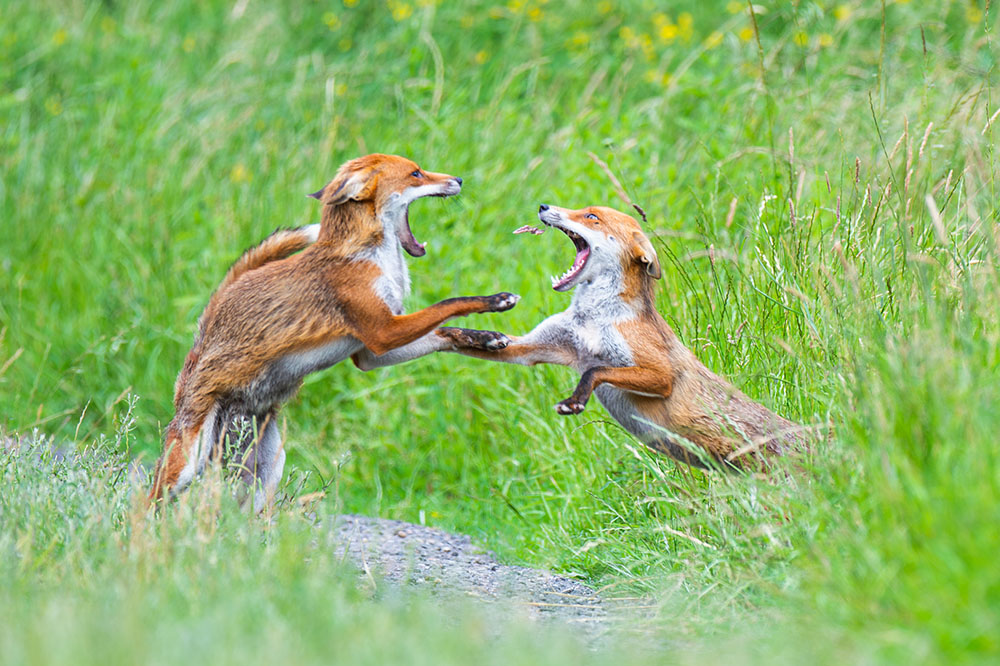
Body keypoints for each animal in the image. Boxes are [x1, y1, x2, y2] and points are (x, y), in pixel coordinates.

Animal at [149, 154, 517, 506]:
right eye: (416, 173)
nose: (459, 179)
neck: (376, 262)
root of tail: (201, 341)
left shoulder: (369, 353)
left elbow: (446, 332)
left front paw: (486, 339)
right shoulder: (382, 330)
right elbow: (450, 303)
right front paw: (495, 300)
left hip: (264, 469)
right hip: (187, 462)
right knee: (151, 499)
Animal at [434, 204, 805, 469]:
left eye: (591, 216)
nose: (543, 205)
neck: (593, 319)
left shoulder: (659, 374)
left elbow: (595, 370)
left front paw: (575, 400)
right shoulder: (540, 346)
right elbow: (487, 341)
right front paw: (461, 333)